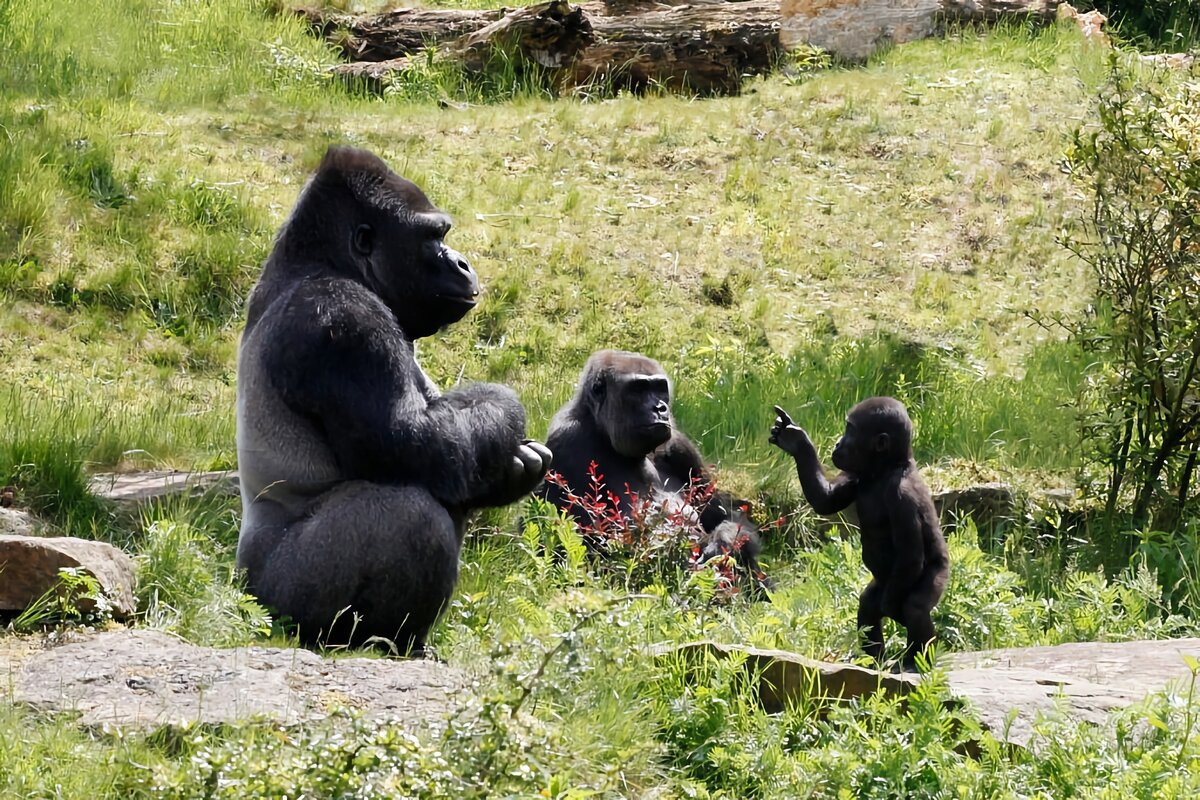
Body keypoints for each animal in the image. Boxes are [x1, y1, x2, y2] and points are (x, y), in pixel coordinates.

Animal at [237, 146, 552, 652]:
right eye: (434, 236)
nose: (462, 263)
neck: (318, 262)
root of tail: (241, 586)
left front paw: (516, 469)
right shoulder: (343, 320)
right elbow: (412, 443)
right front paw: (506, 404)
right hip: (274, 601)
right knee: (410, 513)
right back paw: (377, 640)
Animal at [537, 350, 768, 587]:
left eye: (659, 388)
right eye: (638, 389)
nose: (660, 408)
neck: (602, 432)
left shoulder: (679, 446)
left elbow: (725, 515)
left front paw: (722, 544)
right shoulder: (567, 440)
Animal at [772, 398, 950, 666]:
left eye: (850, 430)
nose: (838, 442)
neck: (887, 469)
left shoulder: (903, 497)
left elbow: (910, 556)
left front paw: (893, 611)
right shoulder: (855, 473)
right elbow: (825, 500)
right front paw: (796, 441)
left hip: (934, 574)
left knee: (915, 607)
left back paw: (915, 661)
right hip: (884, 583)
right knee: (868, 606)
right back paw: (873, 659)